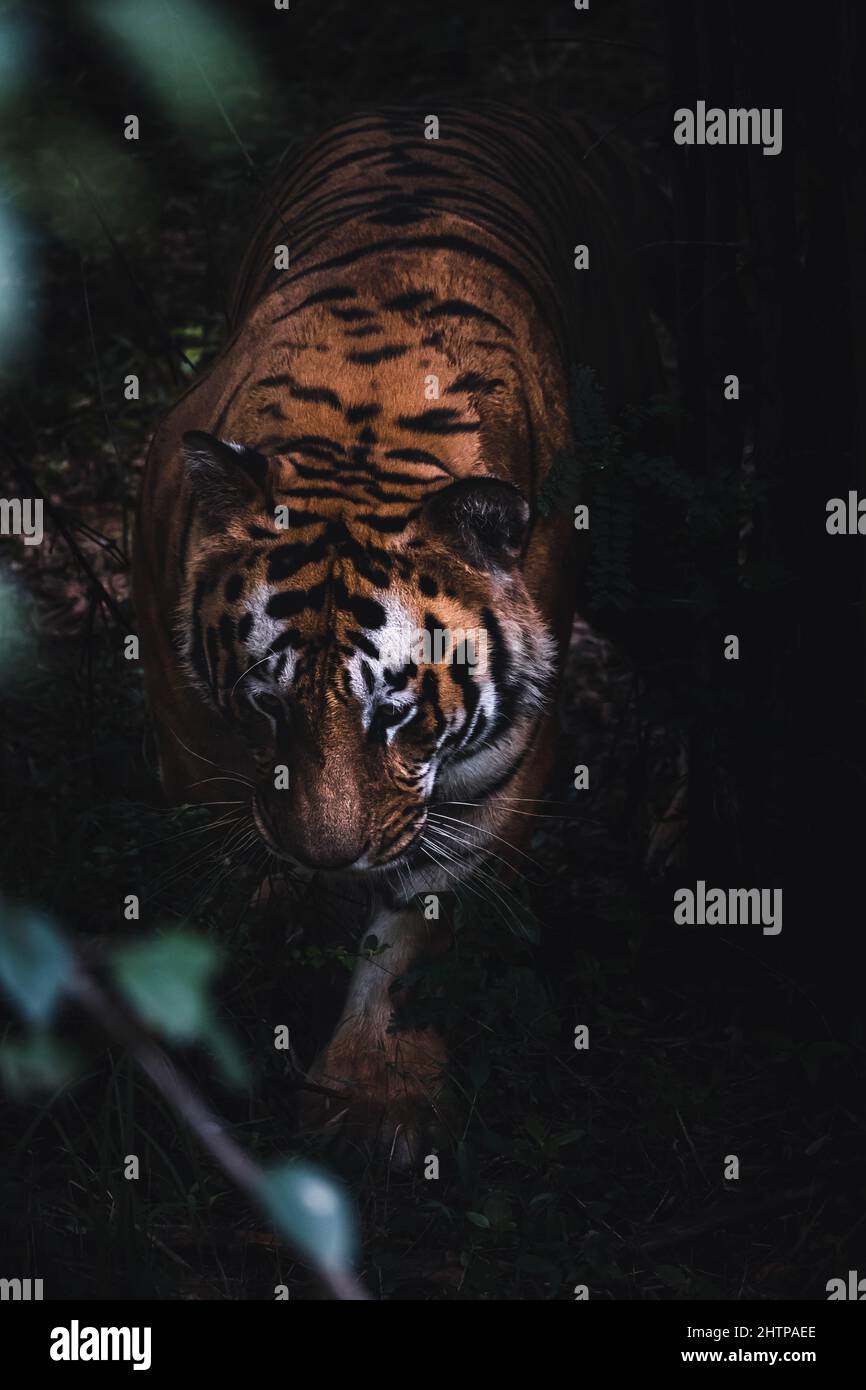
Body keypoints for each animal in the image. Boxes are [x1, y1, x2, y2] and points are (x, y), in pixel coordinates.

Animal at [132, 104, 660, 1166]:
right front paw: (248, 918)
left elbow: (424, 922)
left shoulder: (503, 753)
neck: (365, 439)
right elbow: (213, 798)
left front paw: (372, 1098)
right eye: (267, 706)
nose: (327, 859)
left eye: (397, 718)